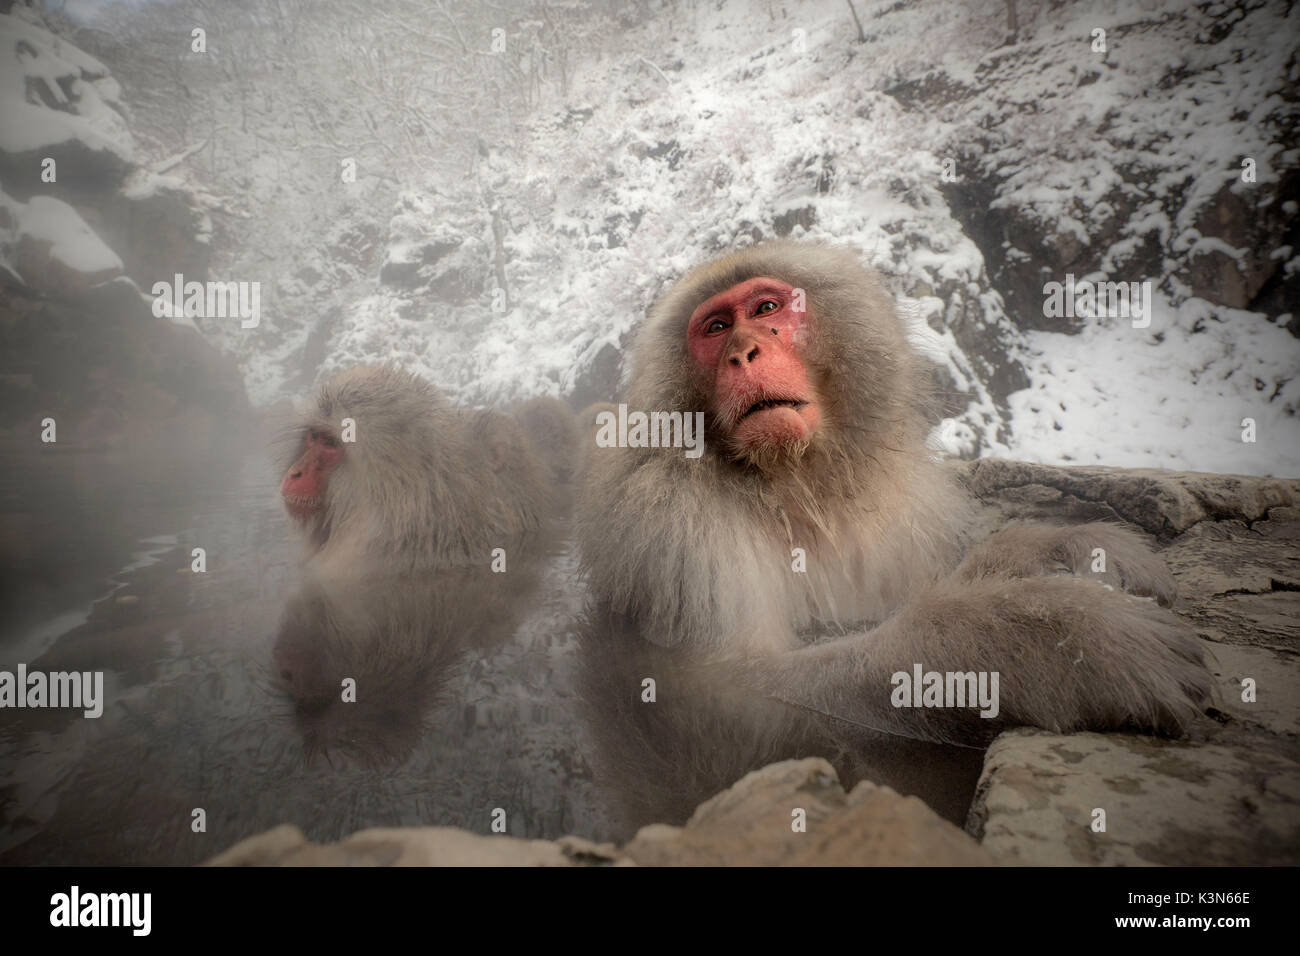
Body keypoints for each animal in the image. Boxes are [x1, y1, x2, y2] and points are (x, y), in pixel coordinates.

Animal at [575, 240, 1214, 832]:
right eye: (715, 328)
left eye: (765, 308)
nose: (742, 352)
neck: (793, 482)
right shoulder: (669, 524)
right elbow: (716, 694)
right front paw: (1051, 639)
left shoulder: (899, 504)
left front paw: (1056, 550)